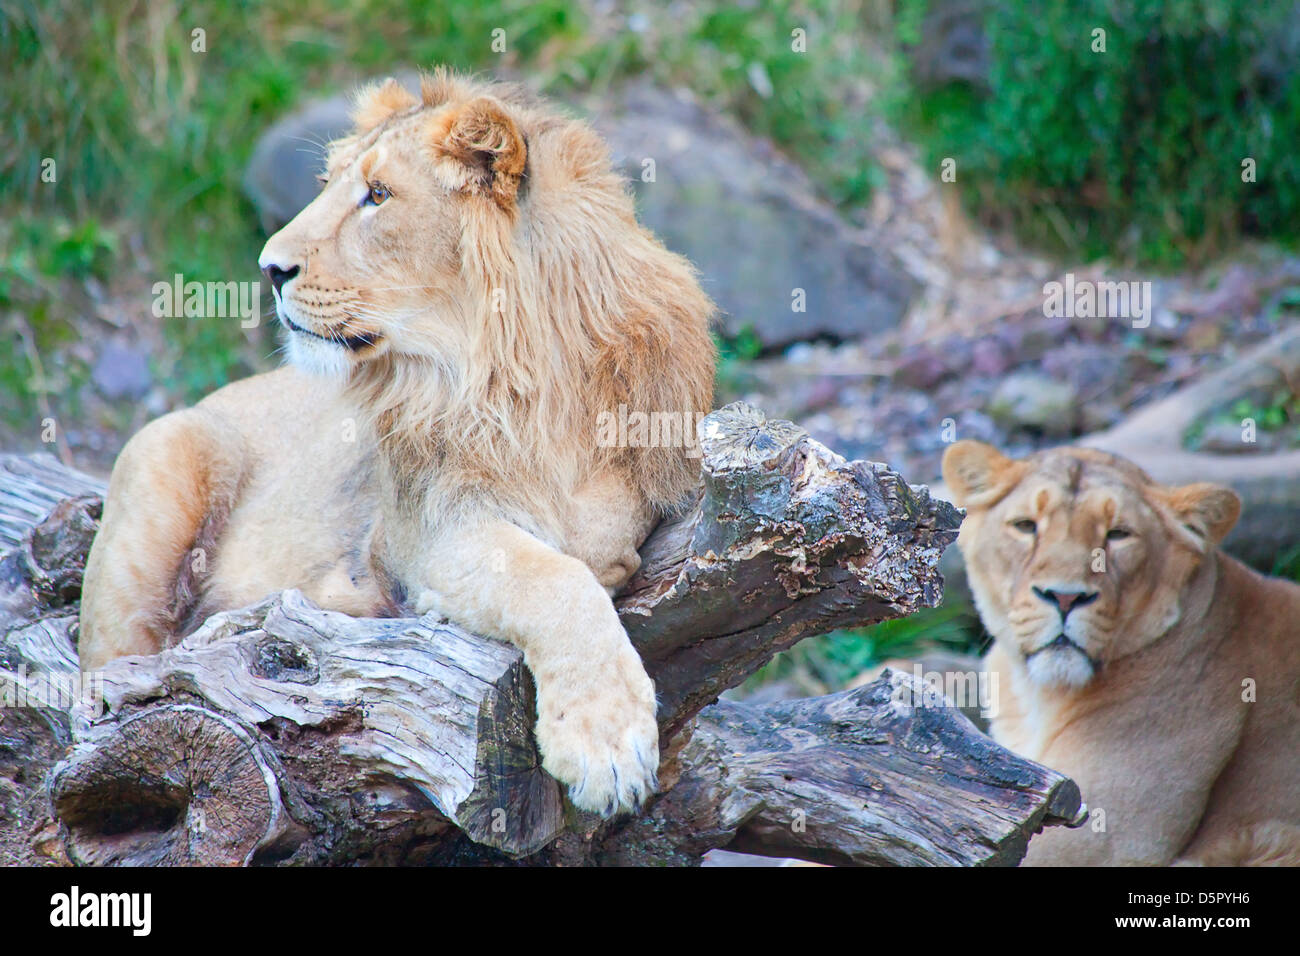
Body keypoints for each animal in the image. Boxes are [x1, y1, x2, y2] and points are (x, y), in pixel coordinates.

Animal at [79, 70, 717, 816]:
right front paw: (604, 743)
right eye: (331, 185)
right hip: (166, 452)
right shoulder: (419, 533)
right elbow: (554, 580)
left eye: (378, 196)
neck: (517, 371)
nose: (269, 268)